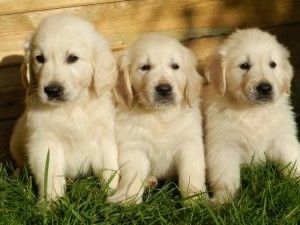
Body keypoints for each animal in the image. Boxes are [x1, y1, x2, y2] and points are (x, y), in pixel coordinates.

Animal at [9, 14, 119, 200]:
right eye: (39, 58)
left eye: (72, 58)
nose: (52, 90)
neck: (72, 107)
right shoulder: (45, 143)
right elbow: (50, 176)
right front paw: (51, 203)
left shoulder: (103, 136)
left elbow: (110, 168)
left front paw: (119, 195)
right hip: (16, 140)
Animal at [108, 33, 206, 204]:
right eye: (144, 67)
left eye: (175, 66)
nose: (164, 89)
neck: (159, 115)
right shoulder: (134, 147)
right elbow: (133, 176)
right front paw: (129, 199)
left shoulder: (189, 143)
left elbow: (191, 172)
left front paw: (196, 198)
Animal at [203, 28, 300, 204]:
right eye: (244, 66)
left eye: (272, 64)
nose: (265, 88)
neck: (252, 111)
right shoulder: (223, 146)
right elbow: (225, 175)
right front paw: (222, 200)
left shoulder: (282, 138)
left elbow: (292, 159)